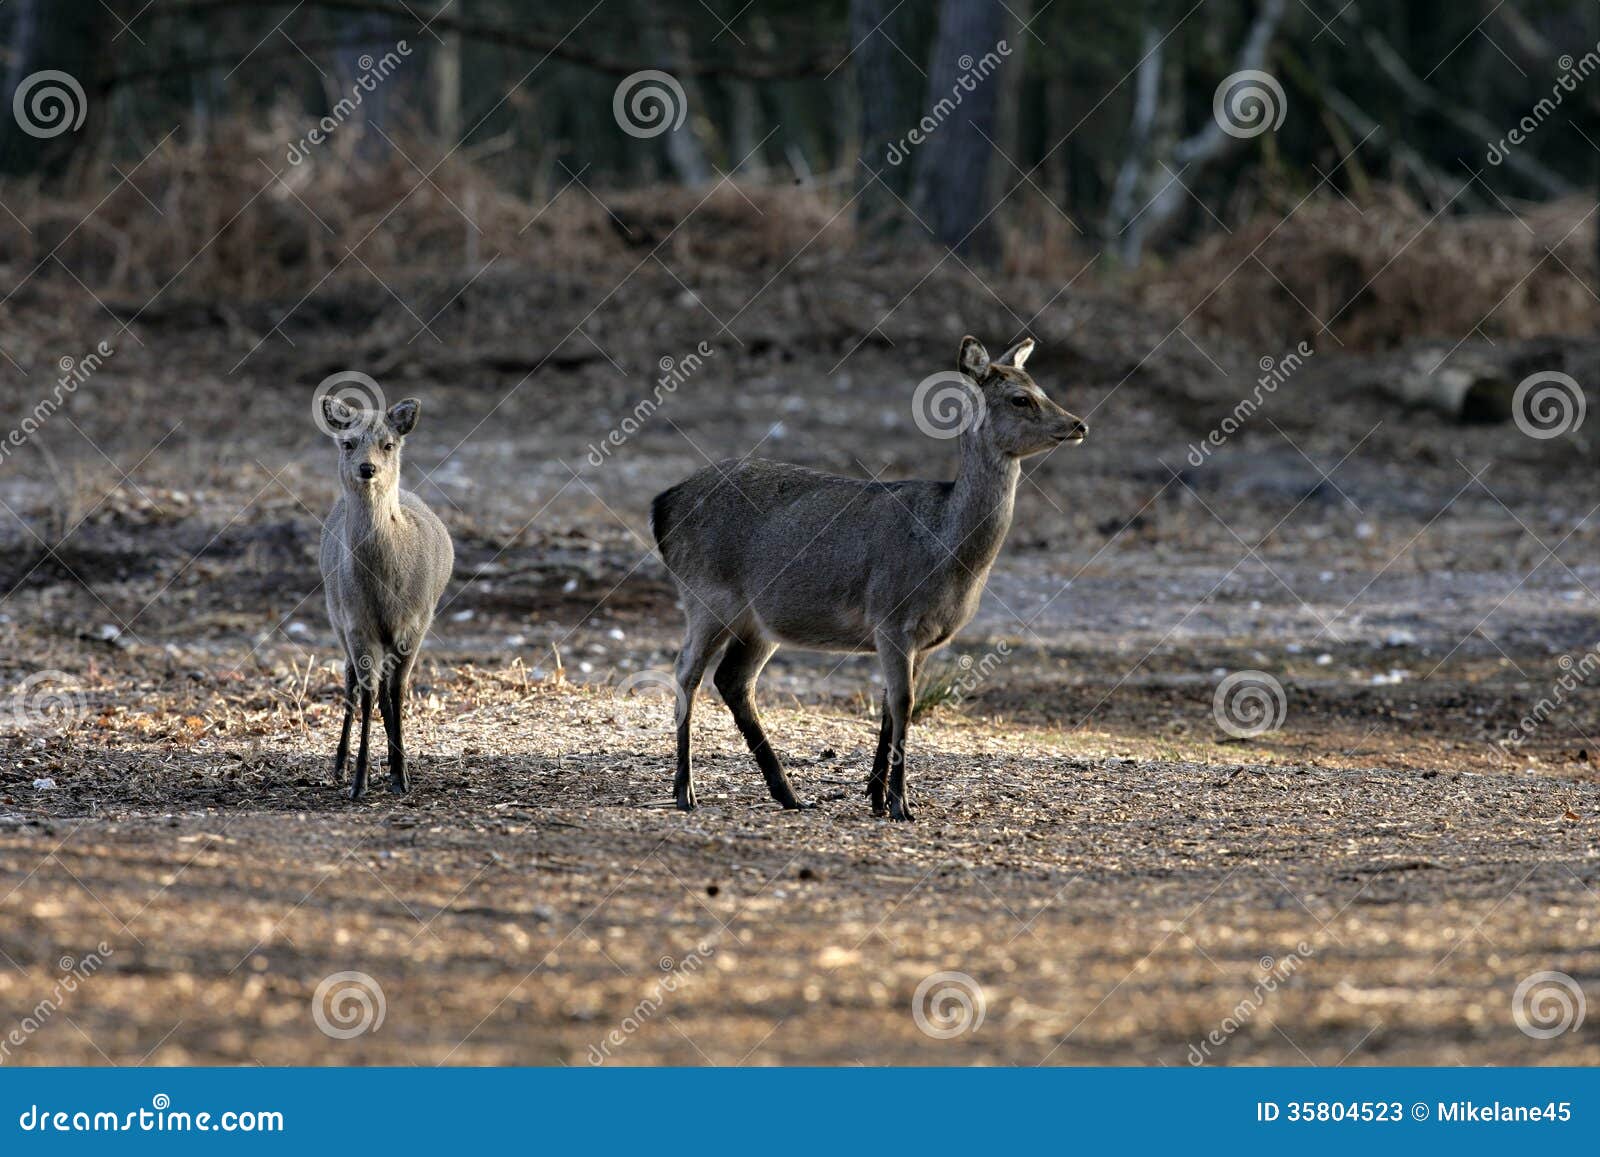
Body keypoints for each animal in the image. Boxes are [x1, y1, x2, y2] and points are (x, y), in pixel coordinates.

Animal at [318, 396, 454, 800]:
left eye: (388, 444)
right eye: (348, 443)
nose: (368, 468)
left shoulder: (417, 621)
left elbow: (397, 690)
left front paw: (401, 774)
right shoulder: (357, 622)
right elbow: (365, 693)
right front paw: (360, 779)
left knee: (384, 688)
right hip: (335, 615)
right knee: (351, 679)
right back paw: (340, 765)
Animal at [650, 335, 1087, 821]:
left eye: (1041, 387)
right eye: (1020, 398)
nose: (1078, 425)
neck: (947, 549)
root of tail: (662, 505)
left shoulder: (923, 638)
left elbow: (890, 707)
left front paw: (877, 796)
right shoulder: (892, 617)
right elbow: (904, 703)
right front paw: (900, 803)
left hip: (760, 621)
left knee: (733, 680)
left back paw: (787, 793)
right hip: (706, 595)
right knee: (686, 672)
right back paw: (685, 791)